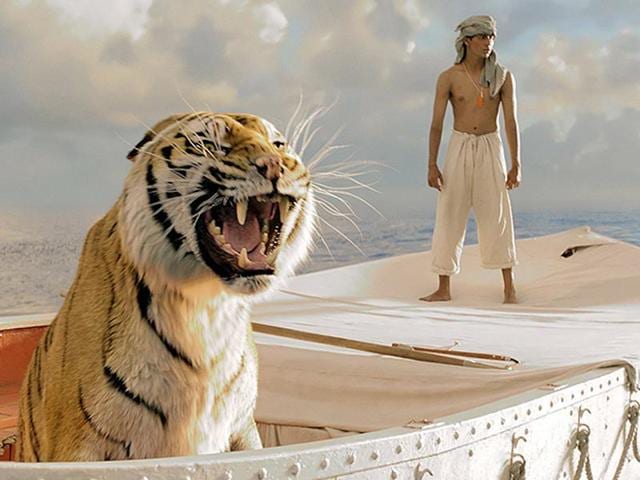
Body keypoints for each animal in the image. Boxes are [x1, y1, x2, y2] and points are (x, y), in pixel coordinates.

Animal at [15, 111, 315, 461]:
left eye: (278, 144)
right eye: (211, 143)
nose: (274, 165)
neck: (205, 304)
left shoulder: (242, 426)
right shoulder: (78, 448)